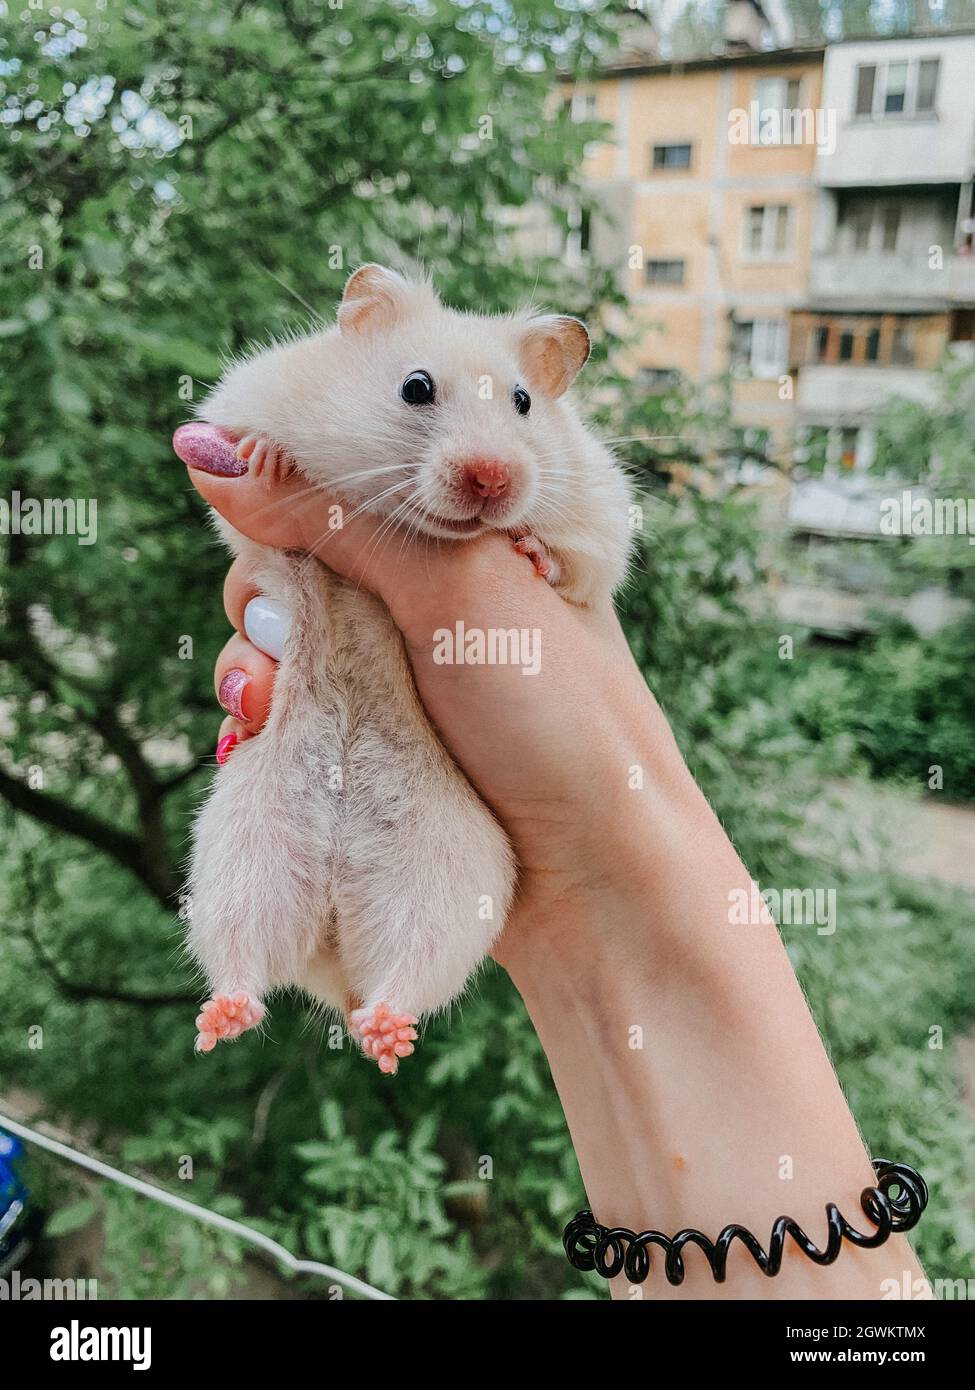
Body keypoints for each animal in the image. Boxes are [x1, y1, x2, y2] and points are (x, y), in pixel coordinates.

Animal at [174, 264, 633, 1075]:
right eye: (416, 387)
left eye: (522, 402)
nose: (492, 479)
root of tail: (333, 954)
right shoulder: (247, 418)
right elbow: (247, 508)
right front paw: (265, 458)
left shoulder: (601, 521)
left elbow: (579, 564)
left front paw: (529, 551)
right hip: (239, 851)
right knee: (242, 962)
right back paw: (222, 1018)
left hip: (443, 885)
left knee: (405, 976)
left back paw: (383, 1033)